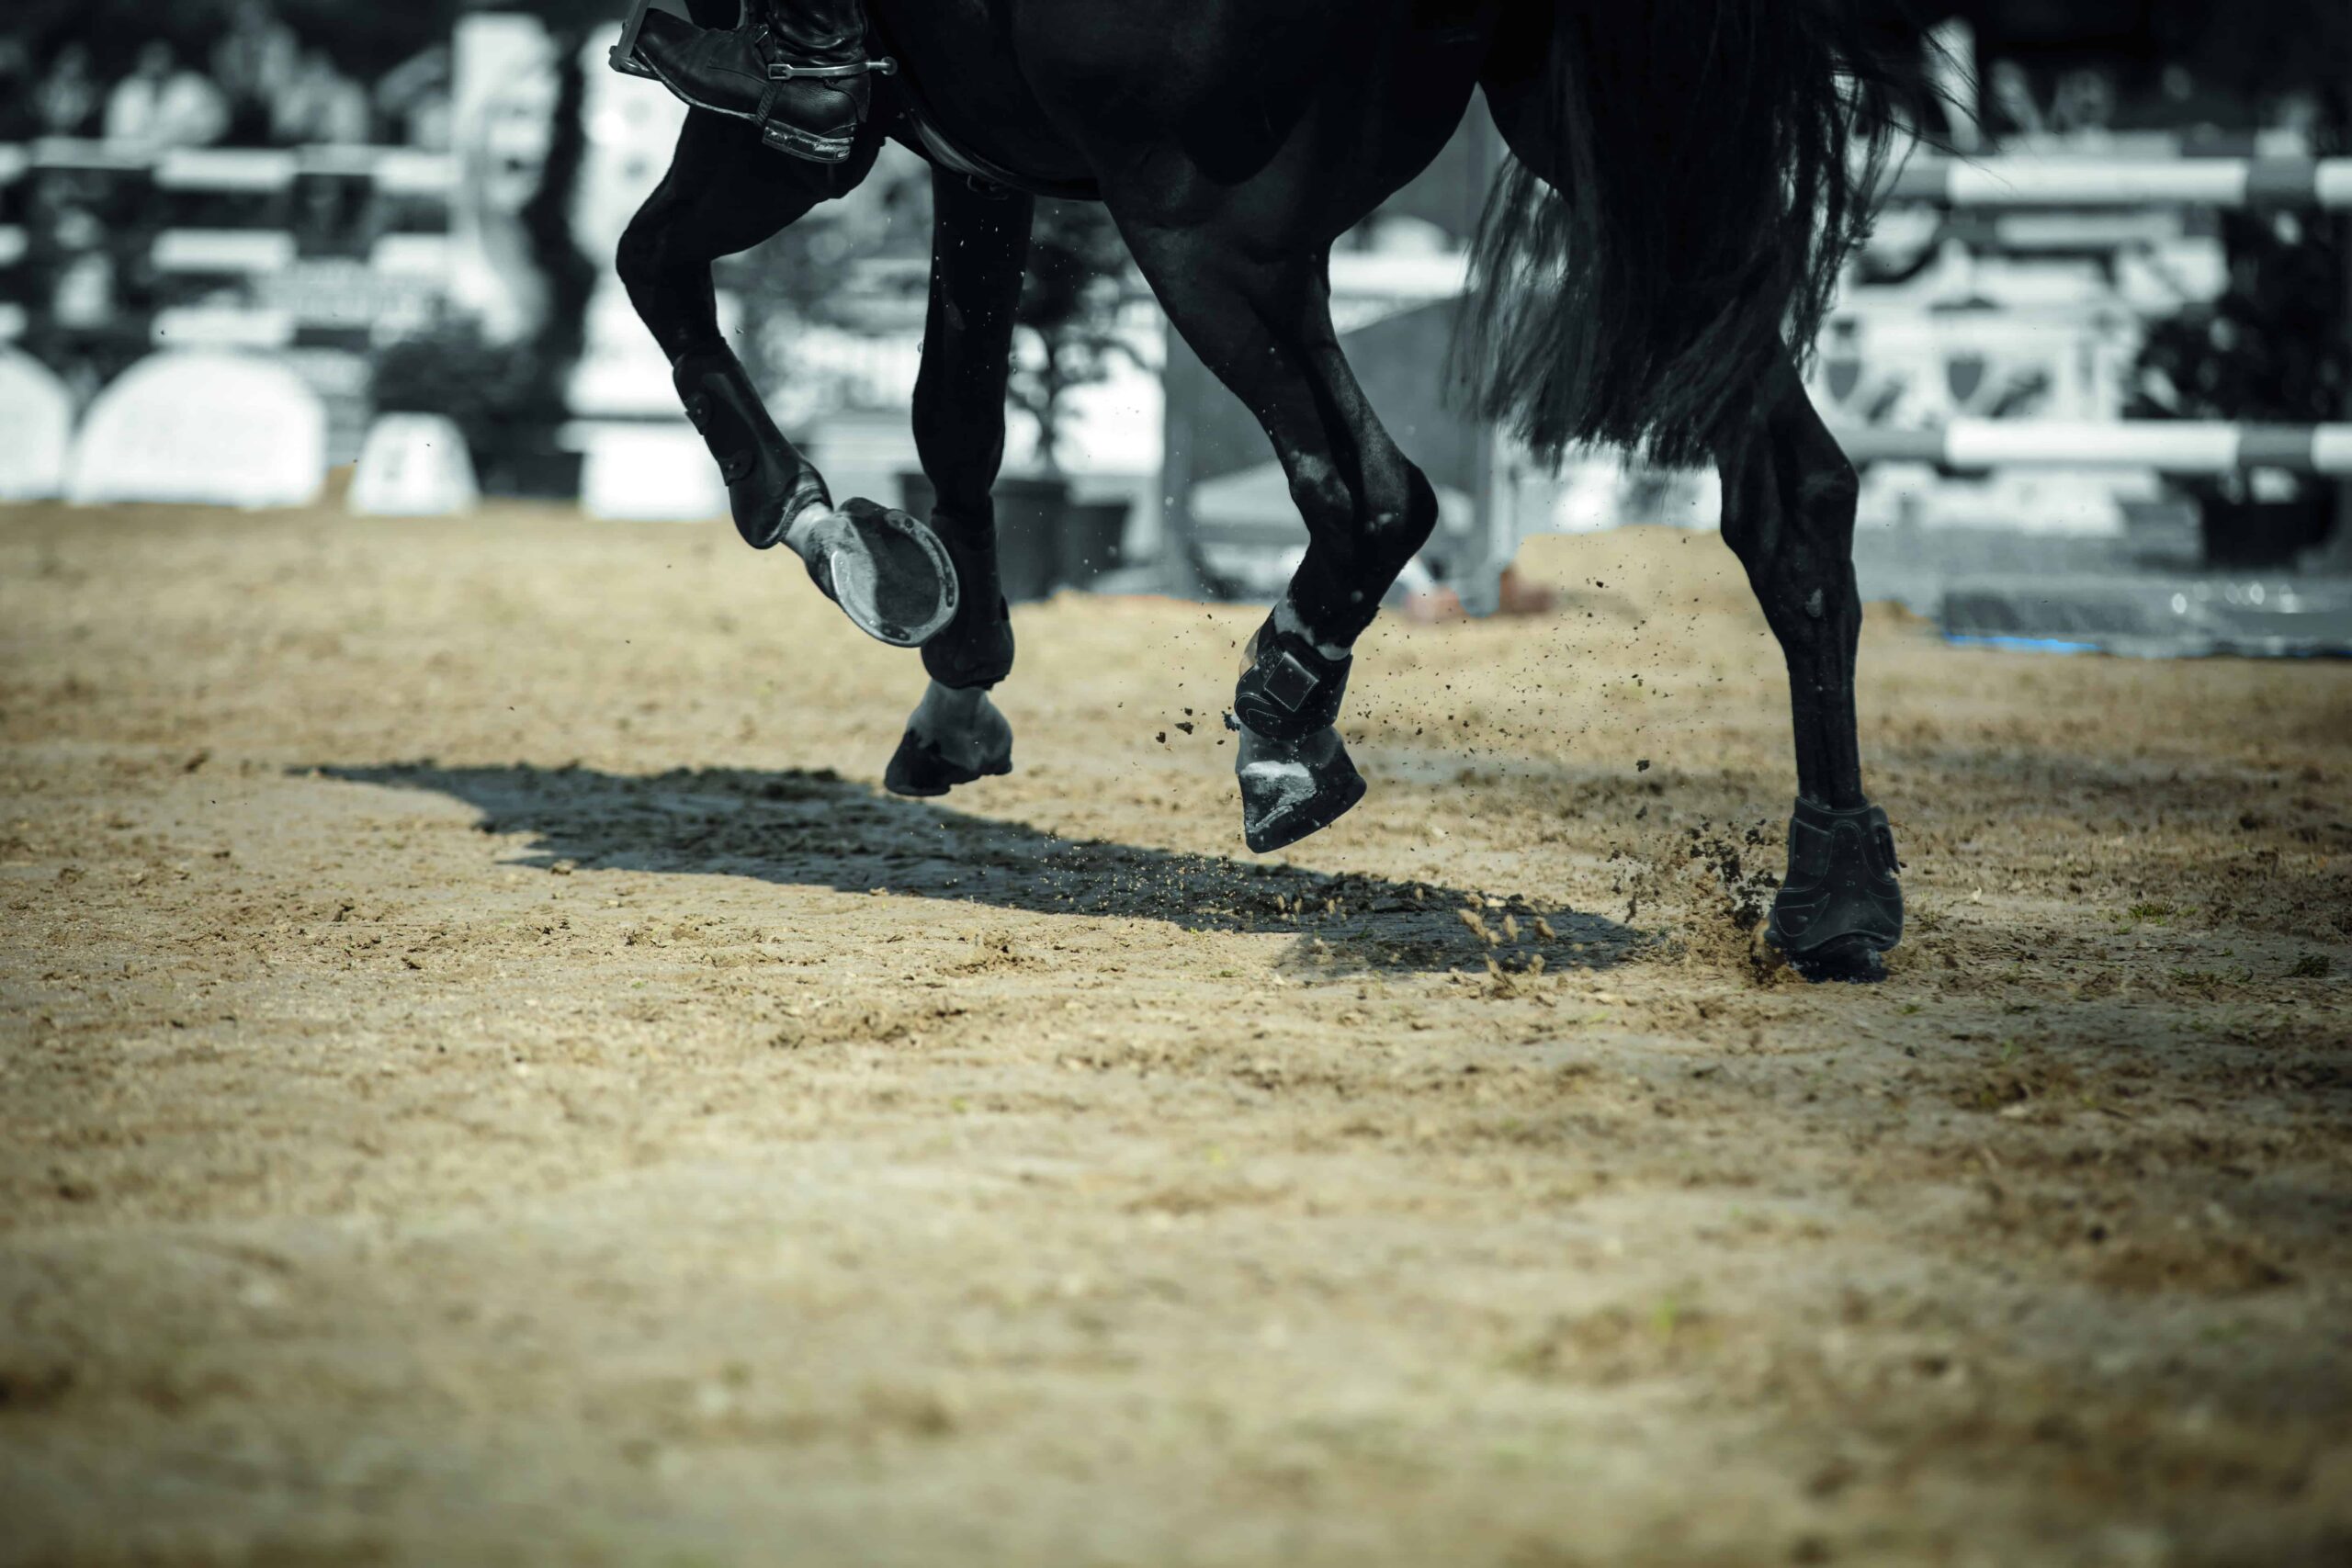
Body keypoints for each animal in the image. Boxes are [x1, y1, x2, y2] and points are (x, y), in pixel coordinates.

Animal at [615, 0, 1934, 982]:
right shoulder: (976, 154)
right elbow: (957, 408)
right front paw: (955, 670)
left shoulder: (796, 141)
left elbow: (654, 261)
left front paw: (822, 531)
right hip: (1627, 167)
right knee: (1796, 502)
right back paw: (1835, 898)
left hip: (1204, 227)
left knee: (1375, 492)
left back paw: (1283, 732)